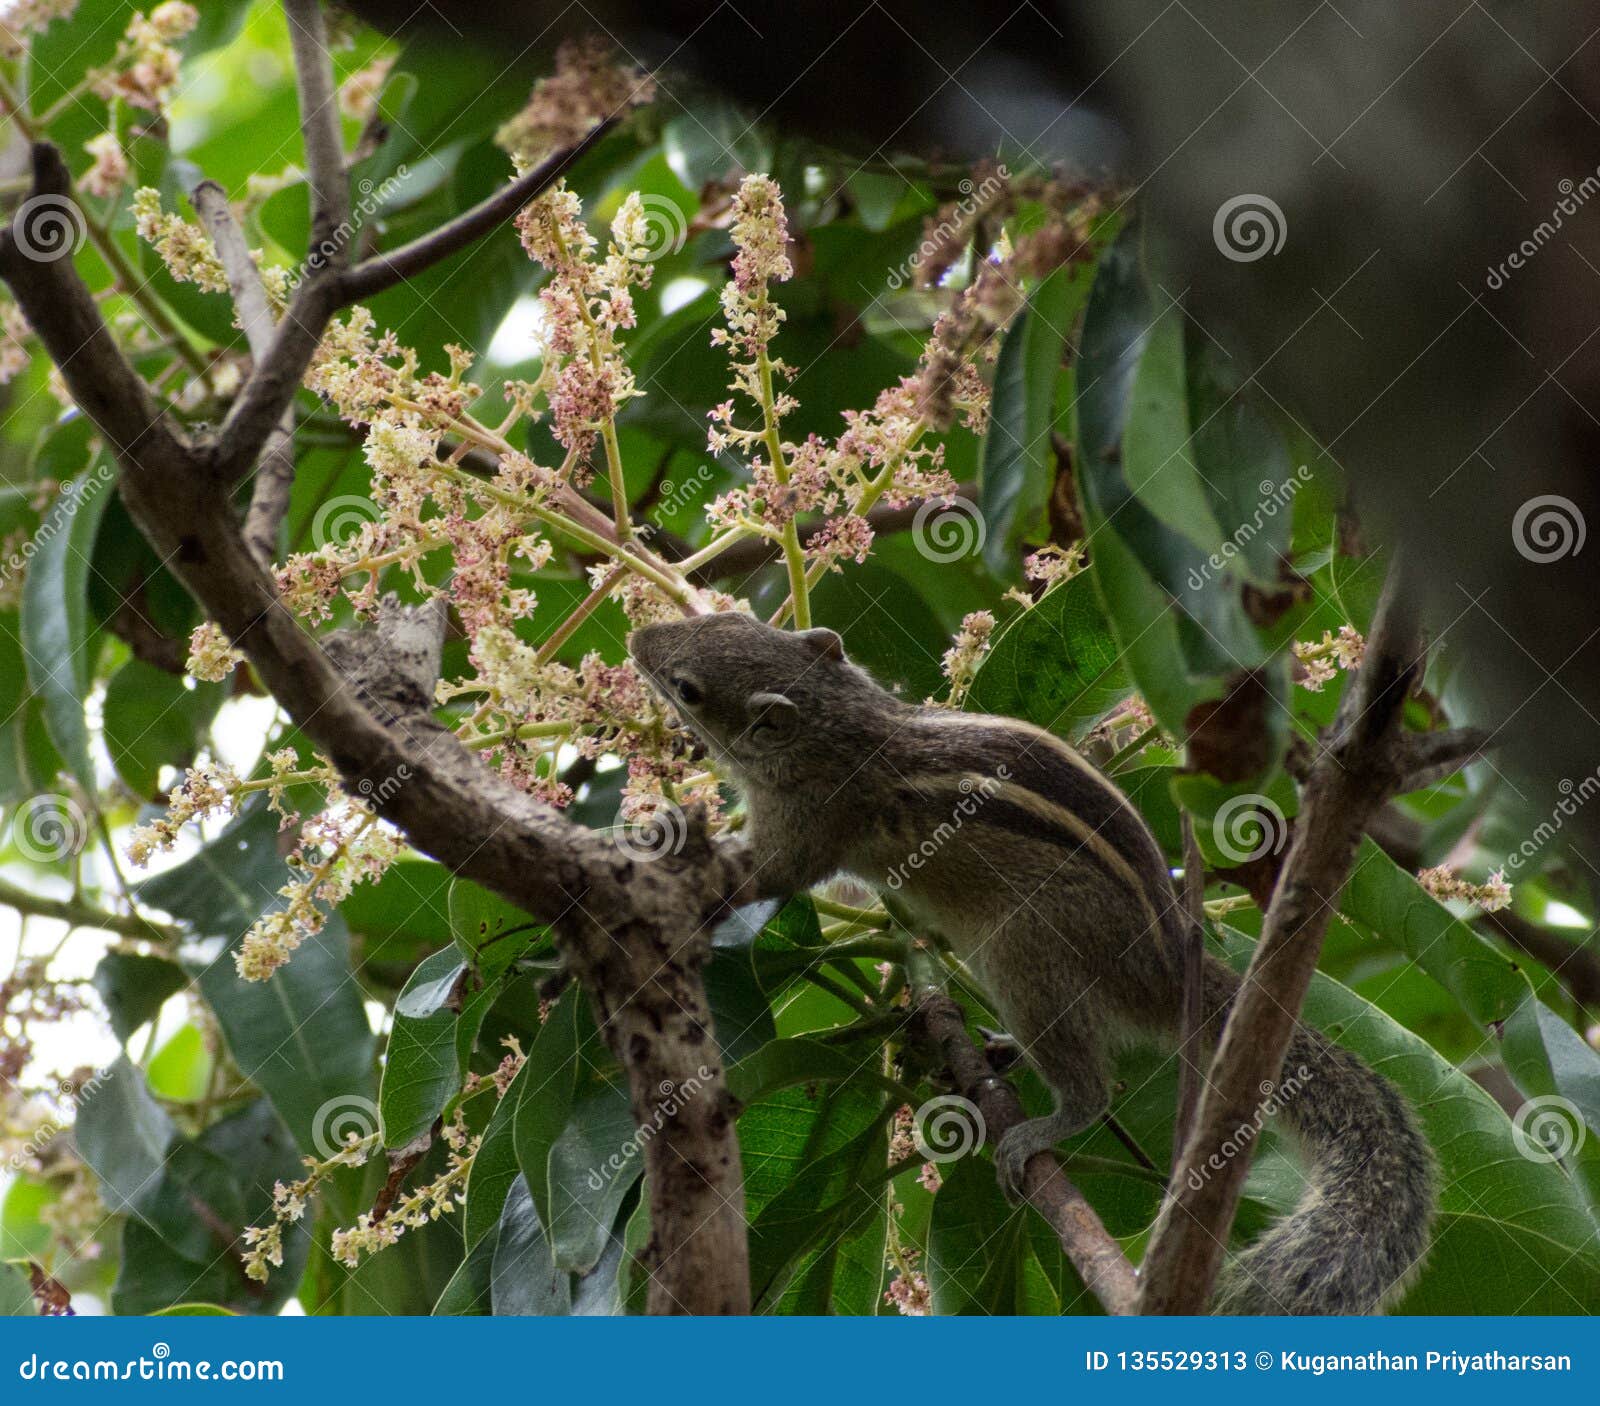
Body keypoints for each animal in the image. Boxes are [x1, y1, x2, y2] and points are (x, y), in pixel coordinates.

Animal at [628, 611, 1436, 1314]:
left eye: (687, 688)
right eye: (726, 620)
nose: (639, 640)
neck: (844, 724)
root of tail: (1167, 969)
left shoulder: (811, 827)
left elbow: (768, 873)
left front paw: (670, 841)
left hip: (1027, 955)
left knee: (1094, 1089)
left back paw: (1038, 1126)